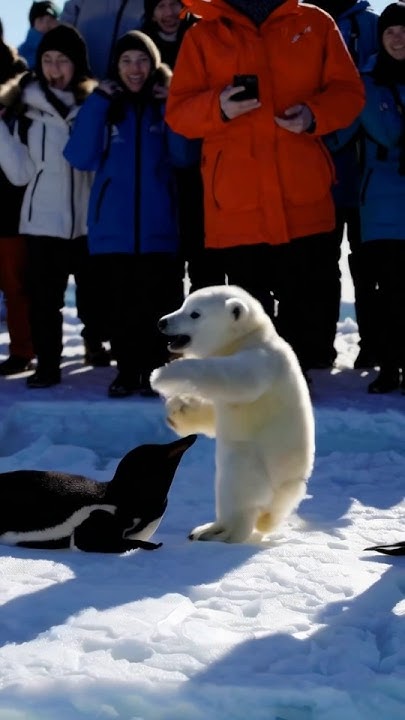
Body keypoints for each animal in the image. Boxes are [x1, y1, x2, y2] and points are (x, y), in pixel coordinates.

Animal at [150, 285, 315, 544]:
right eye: (184, 305)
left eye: (194, 313)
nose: (162, 322)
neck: (249, 336)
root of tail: (286, 493)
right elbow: (215, 409)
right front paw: (178, 410)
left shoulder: (261, 359)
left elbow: (238, 379)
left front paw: (165, 375)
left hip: (251, 465)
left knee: (238, 491)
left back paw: (218, 533)